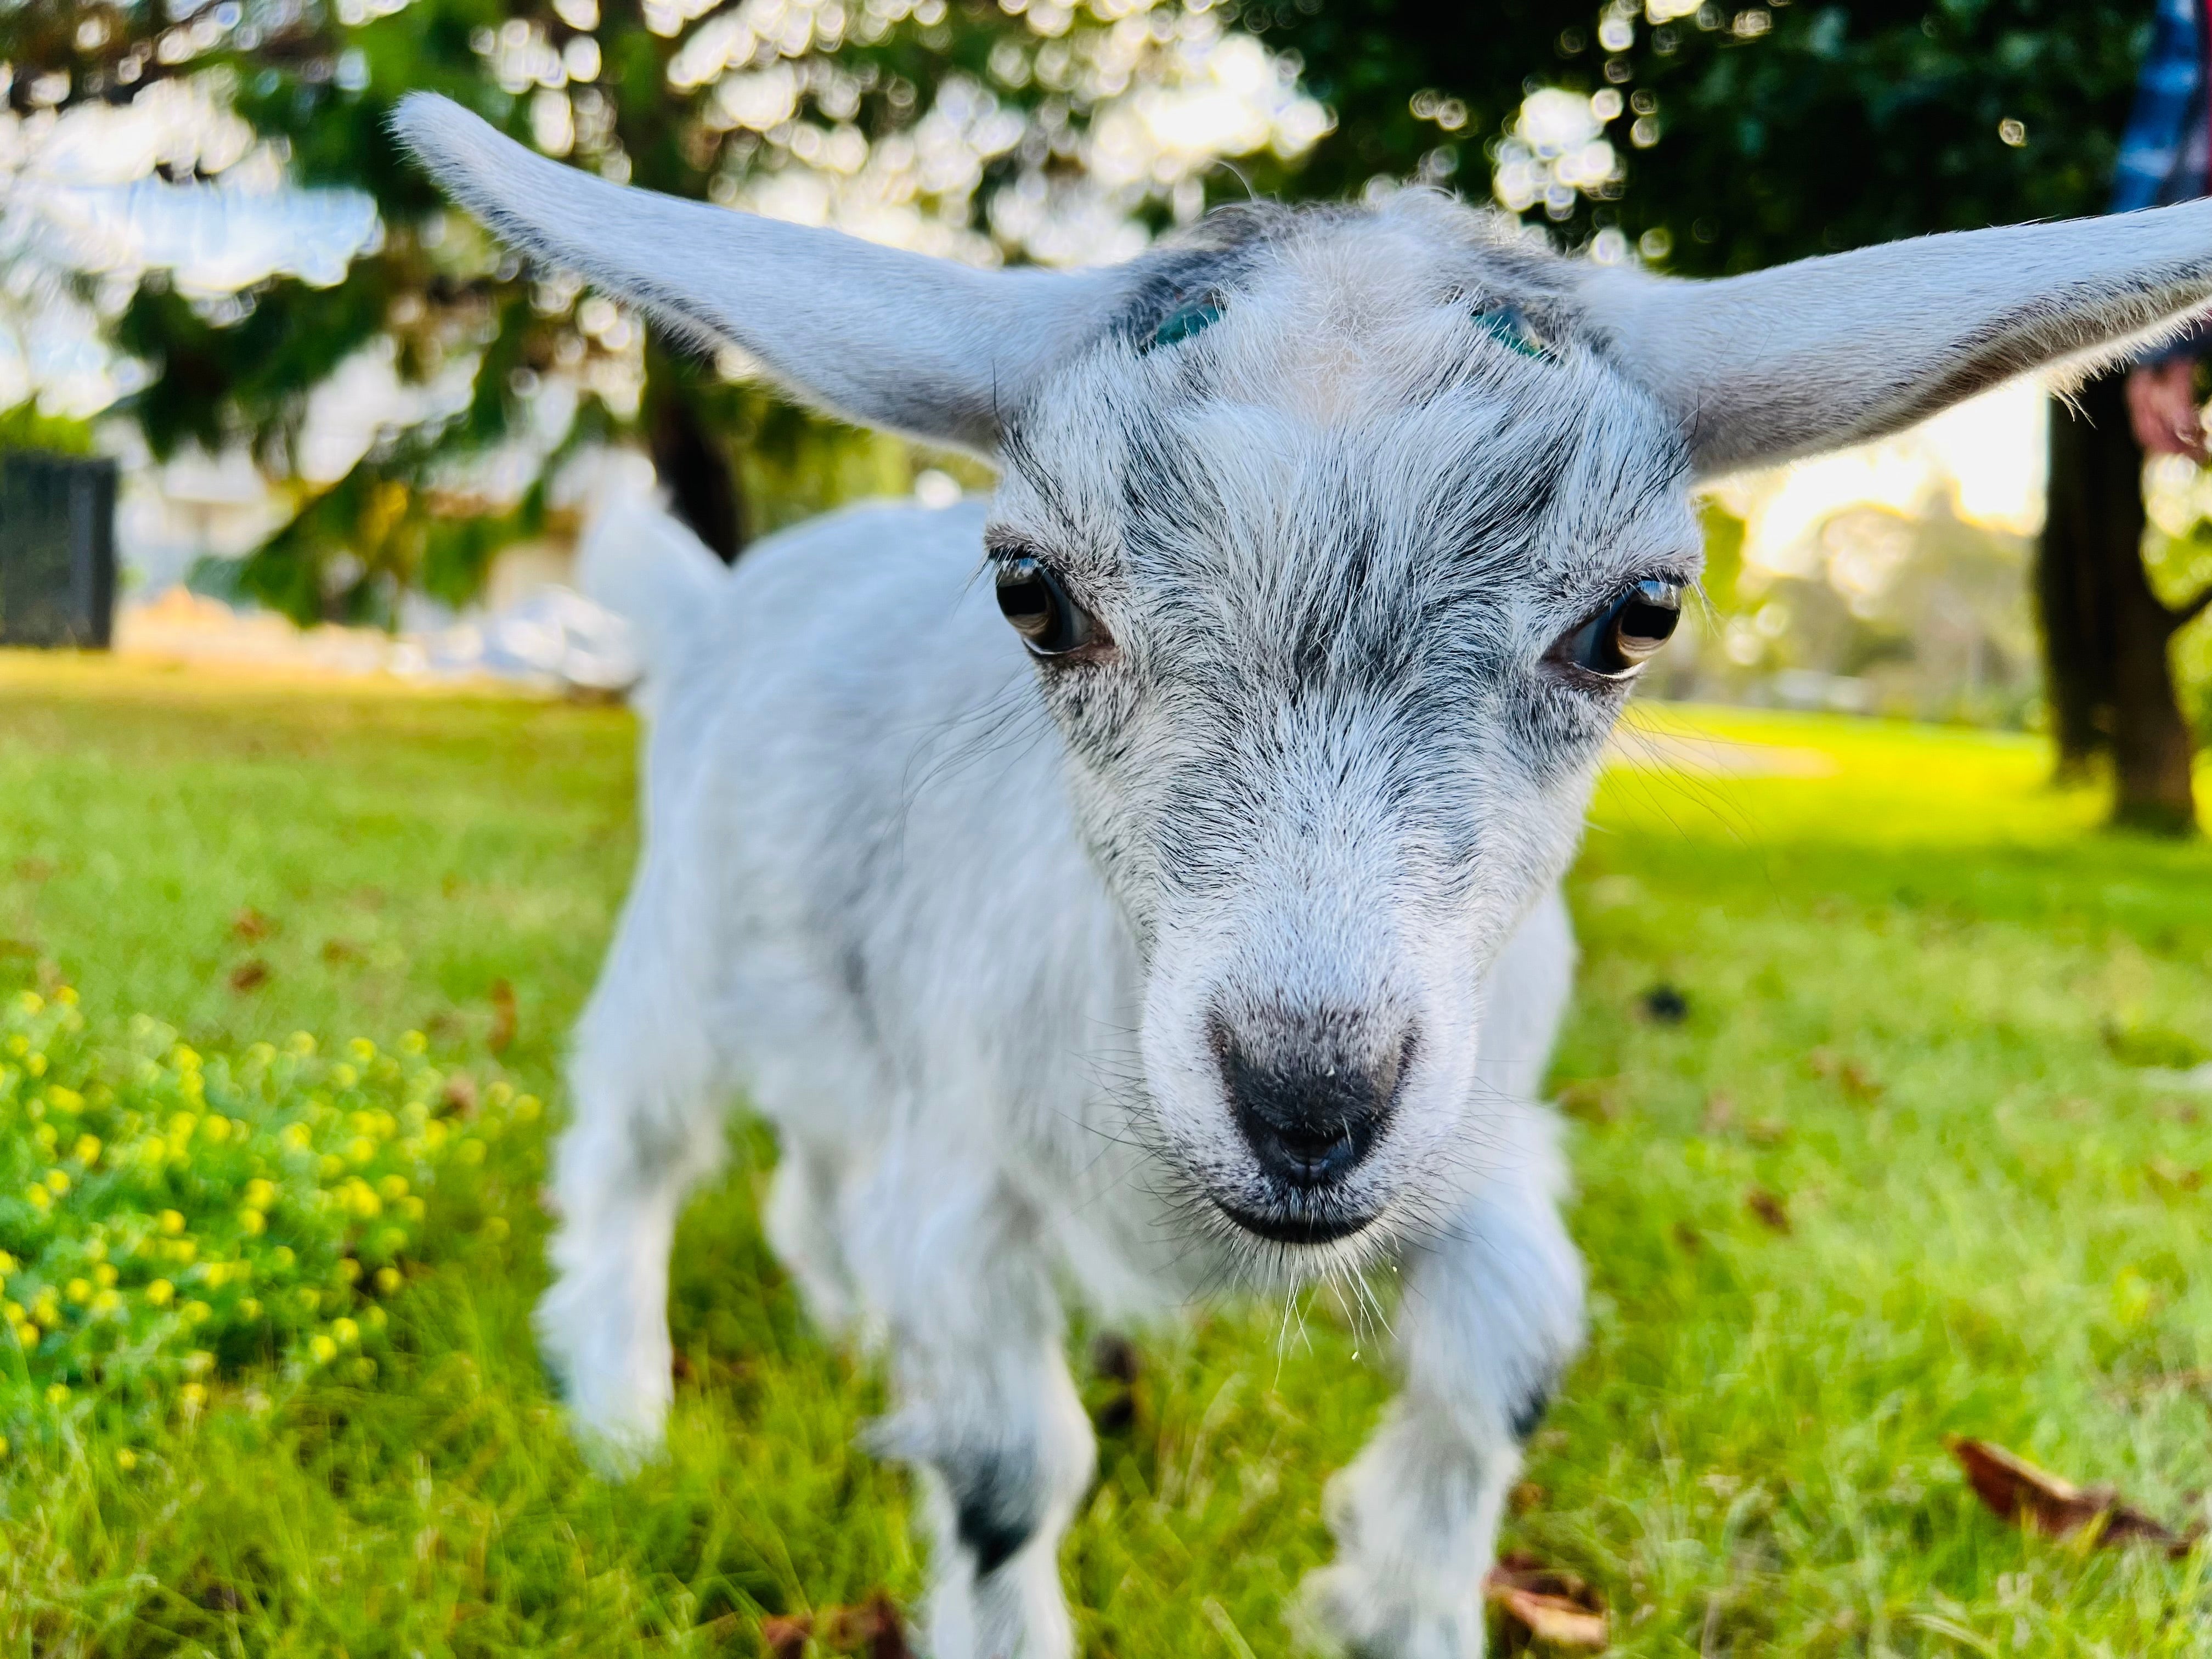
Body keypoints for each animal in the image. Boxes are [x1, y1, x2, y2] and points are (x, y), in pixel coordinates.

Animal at [398, 90, 2212, 1658]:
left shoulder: (1478, 1151)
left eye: (1638, 618)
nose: (1308, 1102)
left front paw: (1393, 1602)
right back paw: (623, 1416)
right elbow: (1010, 1476)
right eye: (1032, 595)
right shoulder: (977, 1176)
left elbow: (1506, 1373)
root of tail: (720, 597)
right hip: (681, 961)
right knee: (635, 1153)